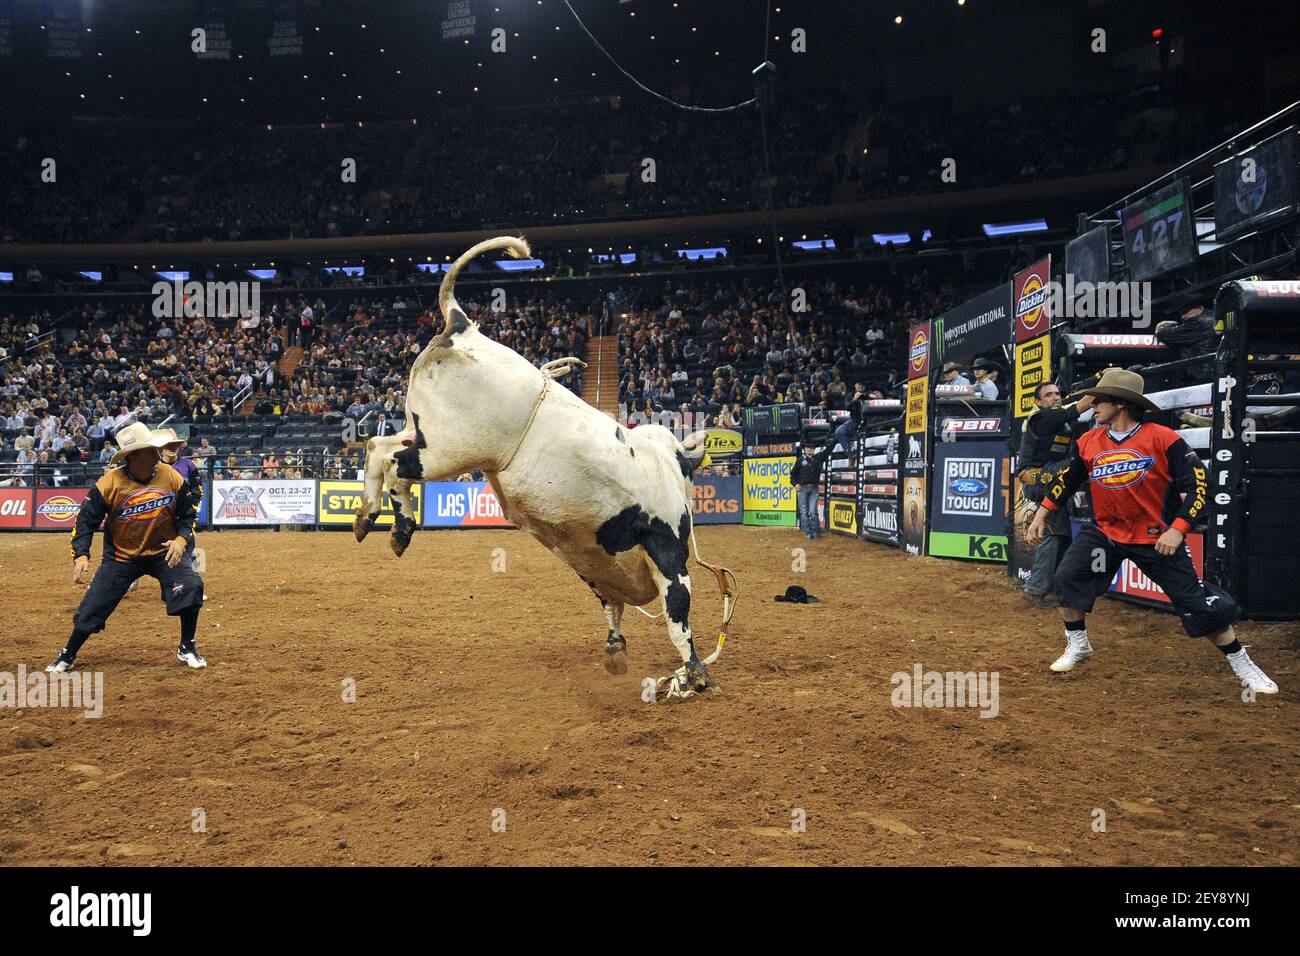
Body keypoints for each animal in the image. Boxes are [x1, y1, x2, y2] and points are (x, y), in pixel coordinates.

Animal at [353, 236, 736, 698]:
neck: (667, 465)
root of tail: (463, 326)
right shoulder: (665, 547)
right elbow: (678, 611)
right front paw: (696, 673)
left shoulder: (595, 559)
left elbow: (611, 604)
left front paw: (616, 649)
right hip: (447, 450)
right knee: (395, 466)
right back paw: (402, 528)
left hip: (423, 432)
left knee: (378, 448)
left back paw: (367, 517)